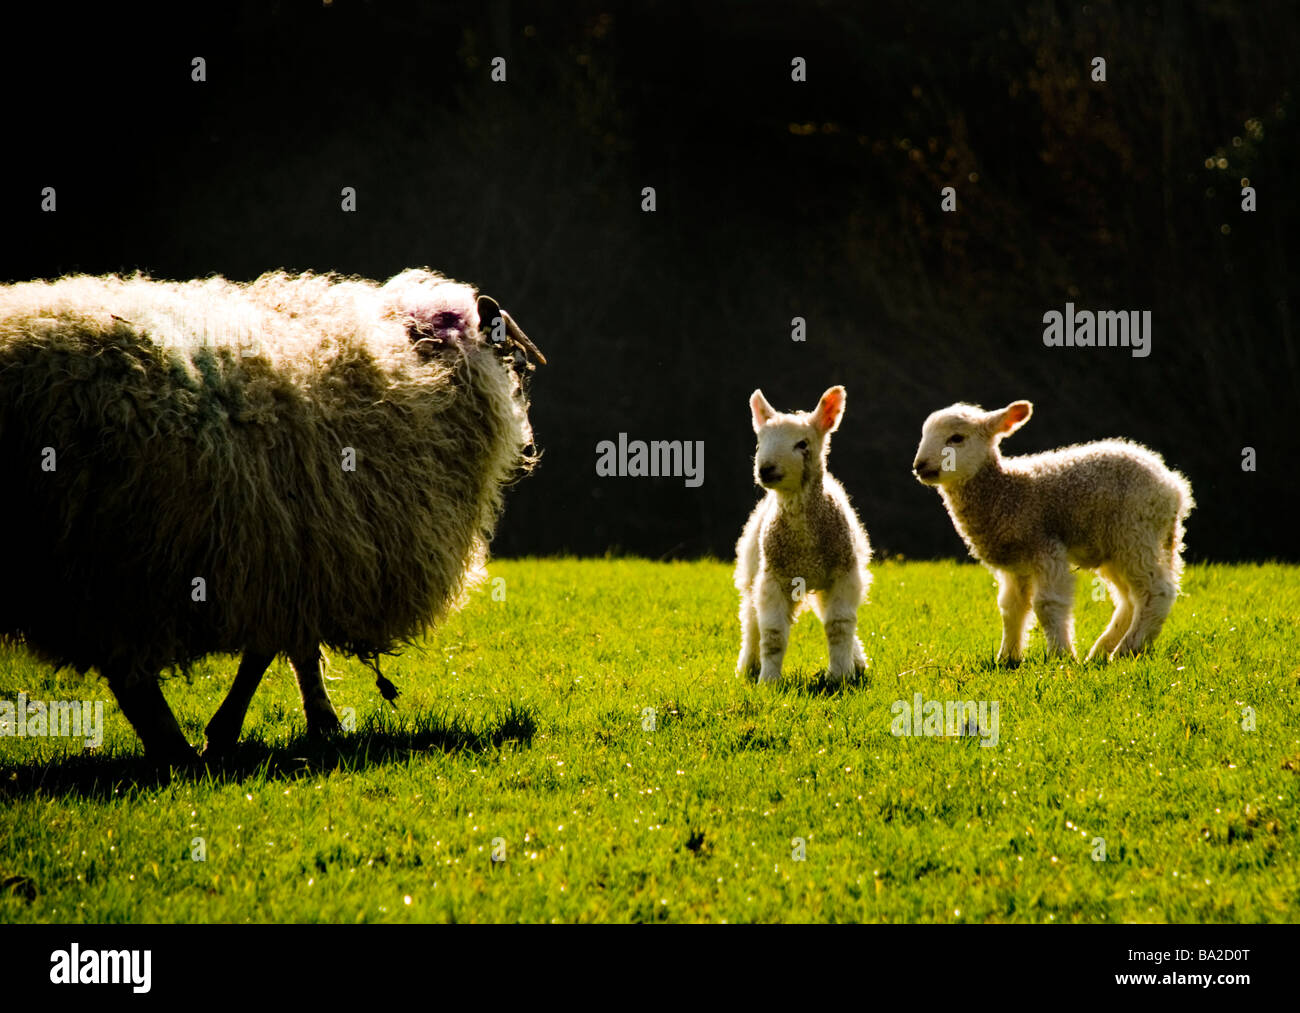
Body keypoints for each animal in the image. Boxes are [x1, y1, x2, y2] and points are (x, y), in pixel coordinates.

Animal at [0, 268, 544, 766]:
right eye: (512, 361)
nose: (531, 449)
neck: (418, 365)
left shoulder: (299, 551)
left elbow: (297, 649)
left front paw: (318, 722)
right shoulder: (295, 547)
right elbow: (267, 652)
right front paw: (232, 730)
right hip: (106, 560)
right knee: (129, 672)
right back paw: (174, 750)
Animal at [735, 387, 872, 684]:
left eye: (802, 444)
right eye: (759, 443)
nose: (765, 469)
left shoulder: (844, 574)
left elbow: (839, 625)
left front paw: (840, 676)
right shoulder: (773, 578)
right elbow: (772, 633)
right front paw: (768, 681)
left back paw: (856, 660)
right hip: (752, 569)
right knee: (750, 619)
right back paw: (747, 665)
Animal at [911, 400, 1193, 664]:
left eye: (956, 438)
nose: (919, 465)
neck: (1006, 491)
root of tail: (1173, 485)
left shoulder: (1046, 546)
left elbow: (1047, 604)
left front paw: (1061, 655)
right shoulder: (1015, 565)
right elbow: (1011, 608)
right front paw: (1007, 657)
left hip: (1136, 532)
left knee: (1156, 591)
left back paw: (1127, 649)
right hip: (1116, 545)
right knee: (1129, 600)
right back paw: (1100, 651)